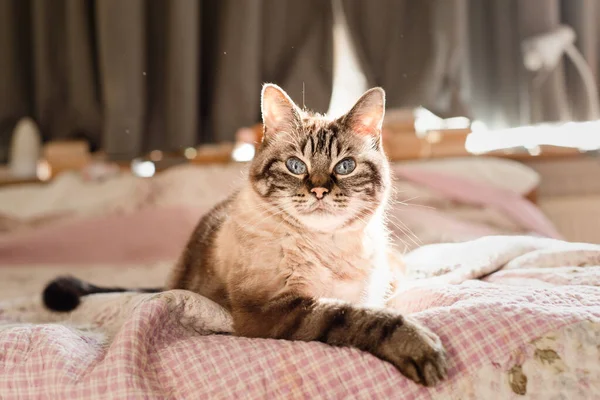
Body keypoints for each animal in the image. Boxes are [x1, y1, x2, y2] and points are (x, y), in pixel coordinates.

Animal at [43, 84, 446, 388]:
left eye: (344, 167)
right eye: (296, 166)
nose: (318, 191)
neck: (328, 246)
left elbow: (377, 304)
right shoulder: (274, 310)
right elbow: (364, 317)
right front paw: (421, 347)